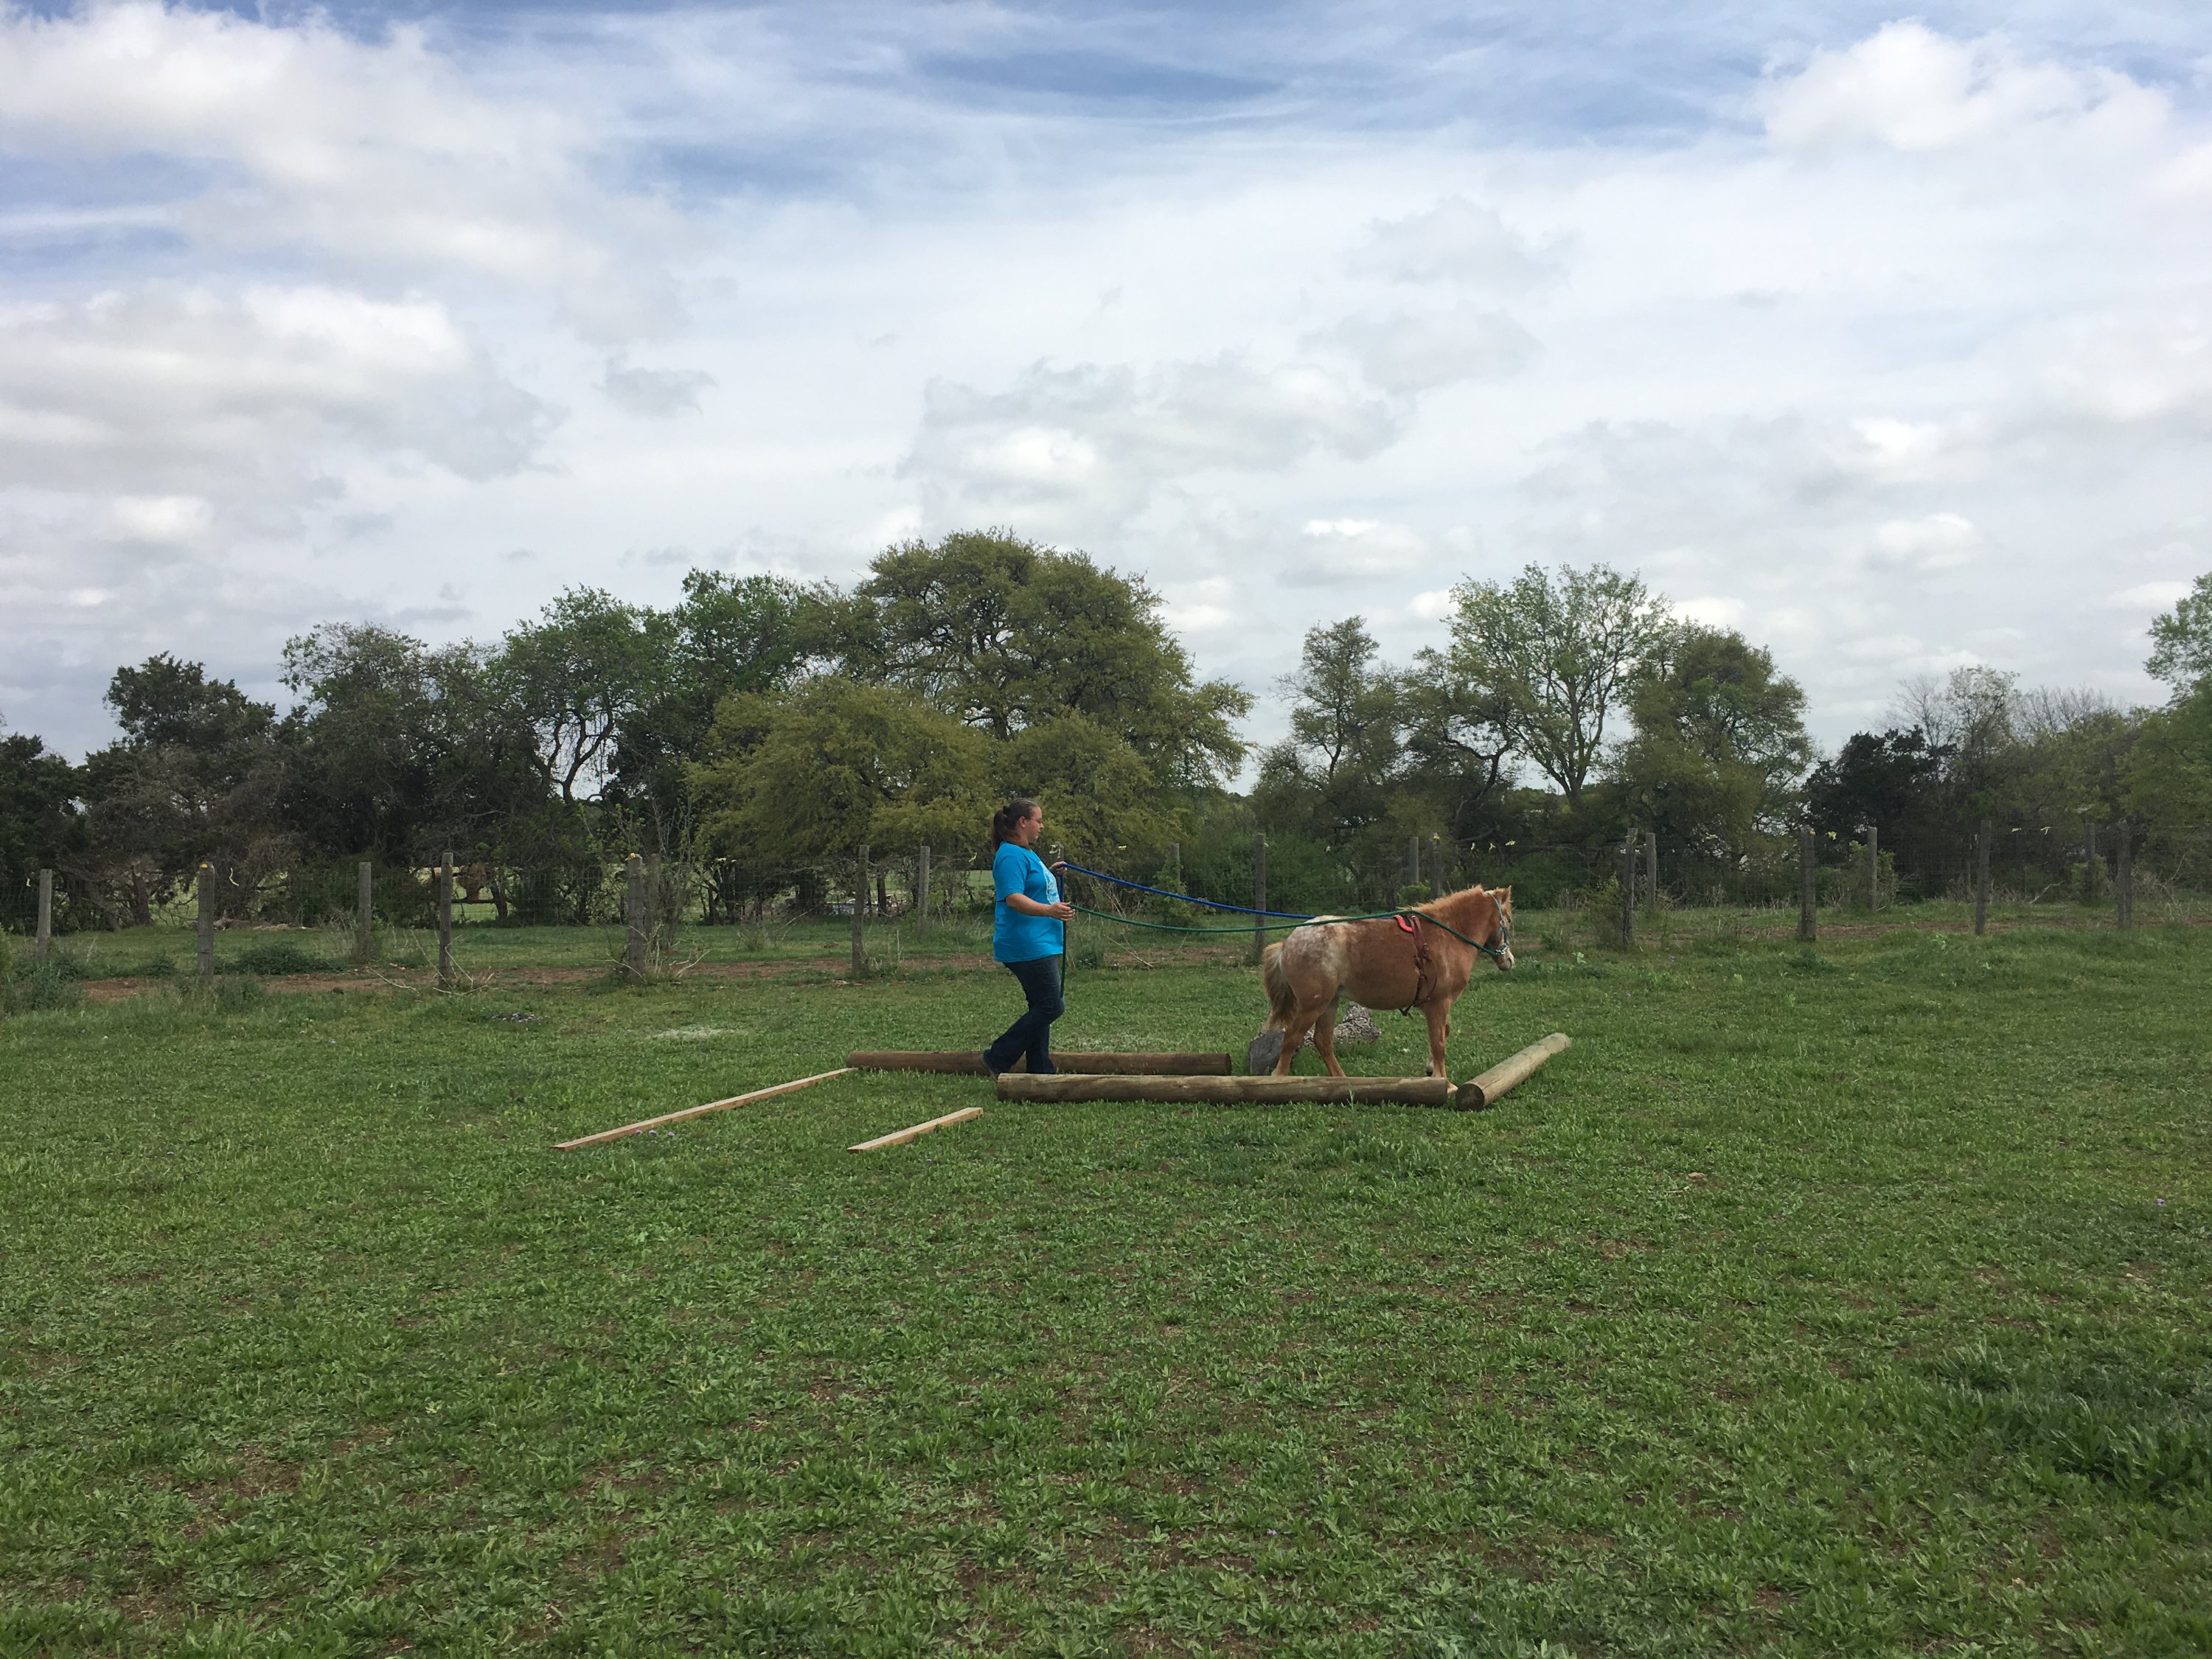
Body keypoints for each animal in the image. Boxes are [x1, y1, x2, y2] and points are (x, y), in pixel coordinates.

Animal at [1252, 885, 1514, 1079]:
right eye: (1508, 920)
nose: (1509, 960)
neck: (1447, 935)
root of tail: (1289, 942)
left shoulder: (1437, 1005)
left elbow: (1443, 1034)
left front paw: (1431, 1069)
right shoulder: (1439, 1004)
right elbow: (1439, 1041)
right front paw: (1443, 1080)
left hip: (1329, 1003)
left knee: (1322, 1041)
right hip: (1313, 1005)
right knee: (1291, 1039)